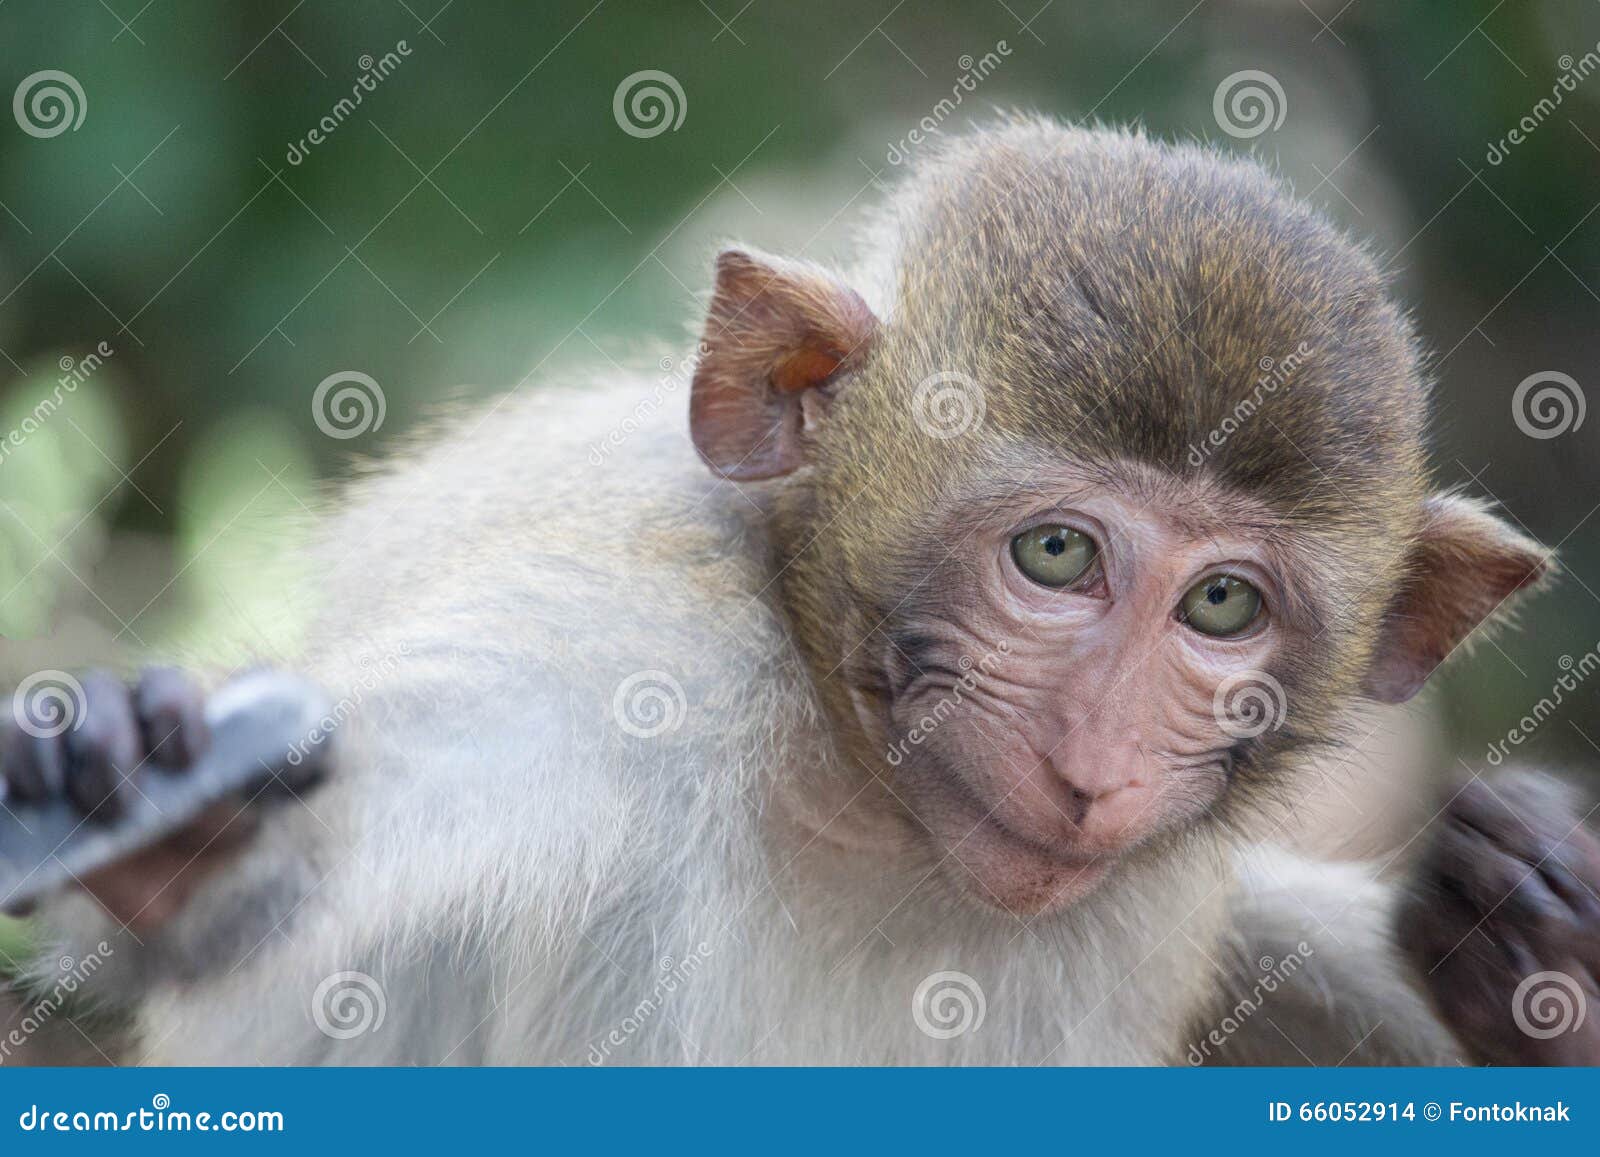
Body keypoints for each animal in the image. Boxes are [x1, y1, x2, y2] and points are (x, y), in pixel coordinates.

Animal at [3, 117, 1597, 1066]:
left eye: (1221, 608)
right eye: (1056, 556)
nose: (1094, 761)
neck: (859, 786)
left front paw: (1545, 948)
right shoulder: (638, 656)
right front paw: (173, 827)